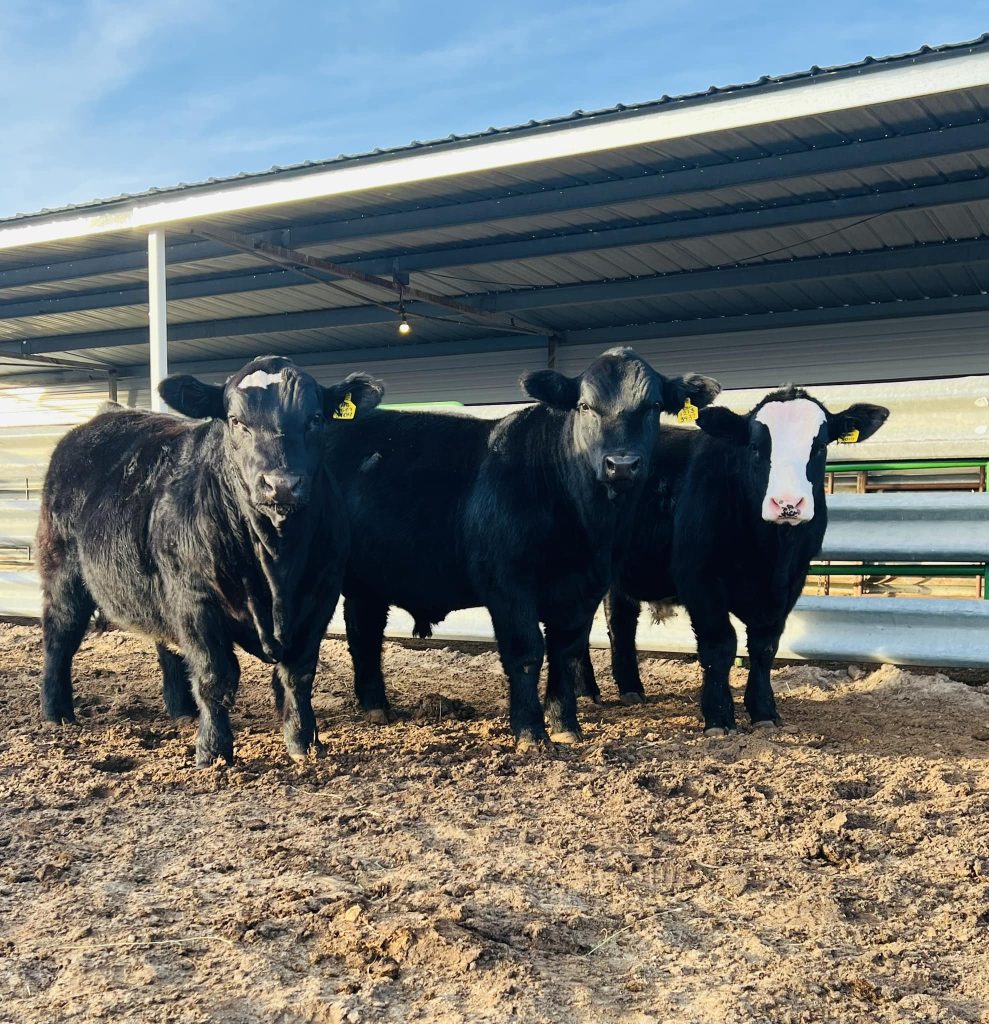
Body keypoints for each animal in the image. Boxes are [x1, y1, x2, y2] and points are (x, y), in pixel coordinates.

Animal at [37, 355, 383, 766]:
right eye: (235, 420)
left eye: (315, 418)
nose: (281, 484)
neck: (274, 563)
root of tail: (107, 414)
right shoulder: (195, 599)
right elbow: (215, 676)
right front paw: (213, 751)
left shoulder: (321, 595)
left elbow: (298, 674)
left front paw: (303, 742)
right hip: (63, 573)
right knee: (60, 635)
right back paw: (57, 712)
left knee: (165, 645)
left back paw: (181, 710)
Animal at [321, 347, 720, 748]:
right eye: (585, 405)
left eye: (653, 405)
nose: (621, 465)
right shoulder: (508, 584)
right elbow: (527, 652)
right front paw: (530, 731)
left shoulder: (587, 587)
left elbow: (566, 652)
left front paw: (565, 725)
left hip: (369, 578)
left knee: (364, 629)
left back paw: (376, 706)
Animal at [574, 386, 889, 734]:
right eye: (755, 446)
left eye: (819, 446)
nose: (787, 504)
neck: (769, 555)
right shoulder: (699, 580)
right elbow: (720, 644)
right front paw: (719, 716)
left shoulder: (791, 582)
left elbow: (765, 646)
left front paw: (764, 711)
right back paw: (587, 690)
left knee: (619, 620)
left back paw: (626, 688)